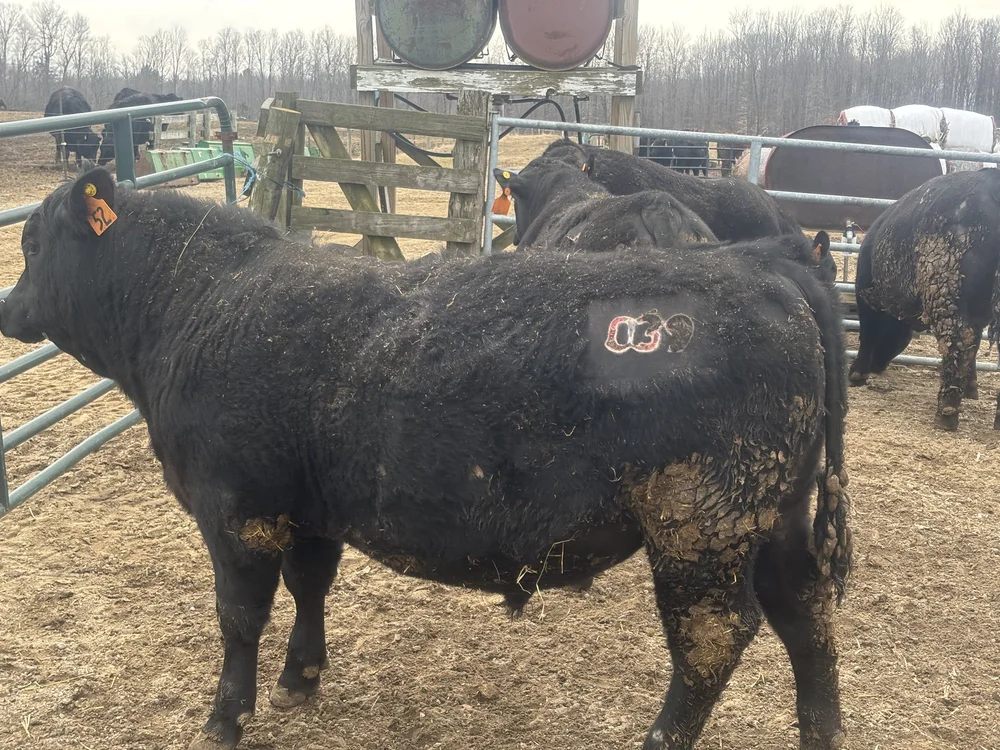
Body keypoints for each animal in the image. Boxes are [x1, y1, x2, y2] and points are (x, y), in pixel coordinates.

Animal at [0, 166, 852, 750]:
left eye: (32, 243)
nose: (8, 308)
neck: (197, 305)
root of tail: (764, 264)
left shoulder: (235, 510)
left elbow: (240, 615)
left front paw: (224, 716)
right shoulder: (311, 508)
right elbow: (310, 586)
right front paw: (300, 677)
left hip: (702, 521)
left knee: (712, 638)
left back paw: (660, 739)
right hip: (775, 514)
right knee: (806, 615)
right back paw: (822, 732)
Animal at [849, 168, 1000, 431]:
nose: (877, 367)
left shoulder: (865, 293)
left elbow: (867, 332)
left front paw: (856, 374)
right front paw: (971, 389)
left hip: (945, 293)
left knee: (958, 341)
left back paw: (946, 415)